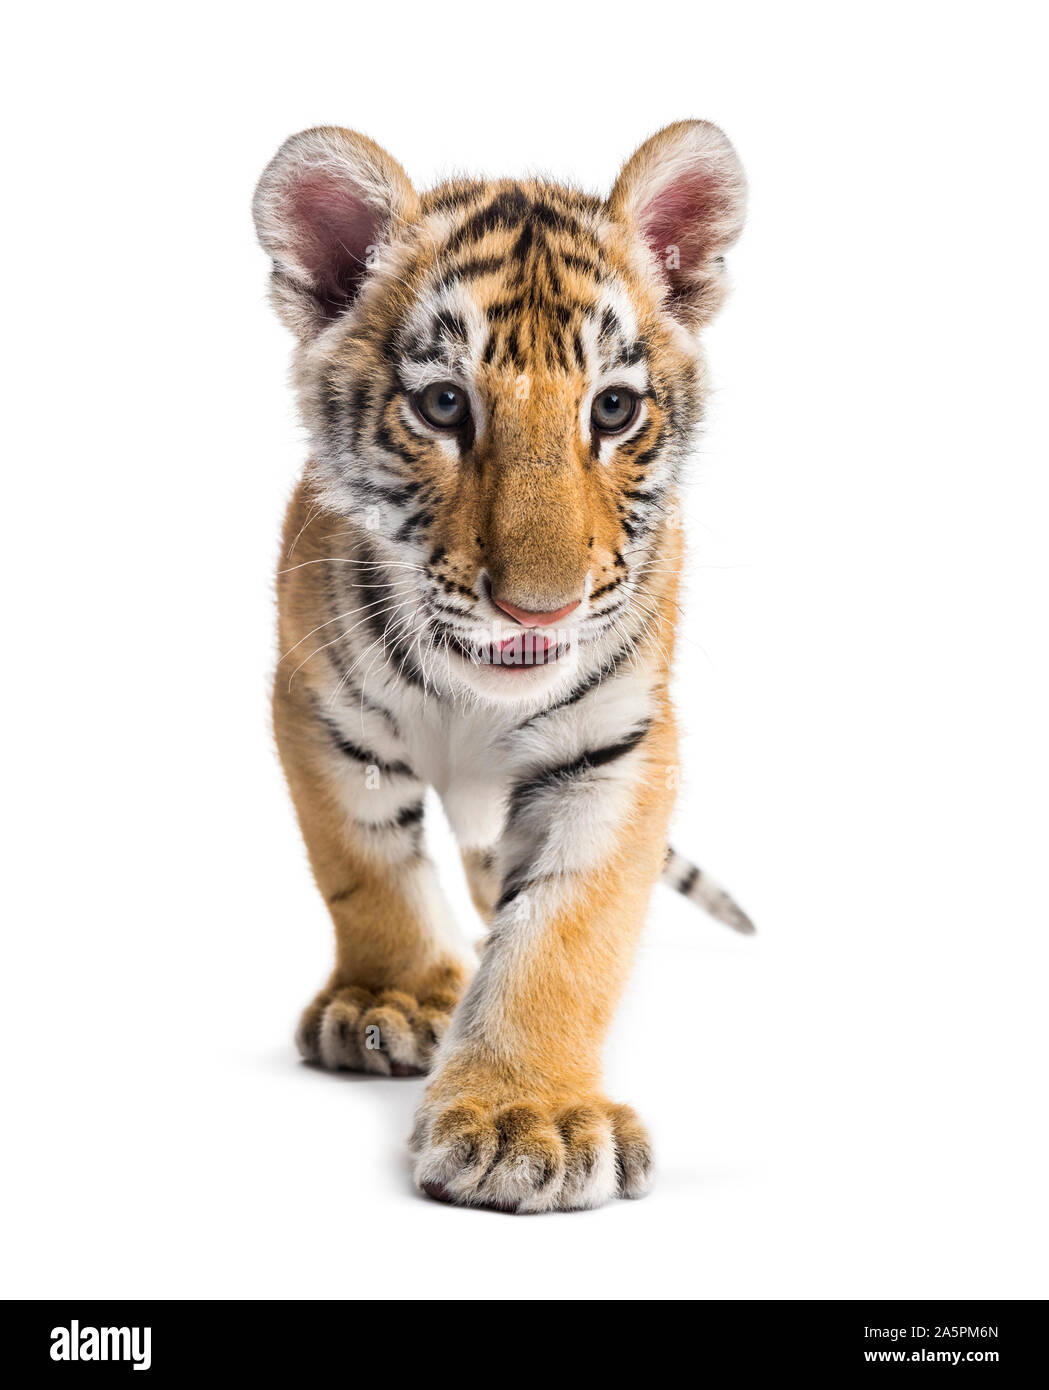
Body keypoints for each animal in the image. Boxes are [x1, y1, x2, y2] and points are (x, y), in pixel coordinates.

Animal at [252, 120, 752, 1213]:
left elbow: (566, 934)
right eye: (444, 406)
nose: (539, 607)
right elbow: (365, 870)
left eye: (611, 411)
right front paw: (390, 1001)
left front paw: (530, 1117)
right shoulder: (318, 713)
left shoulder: (619, 749)